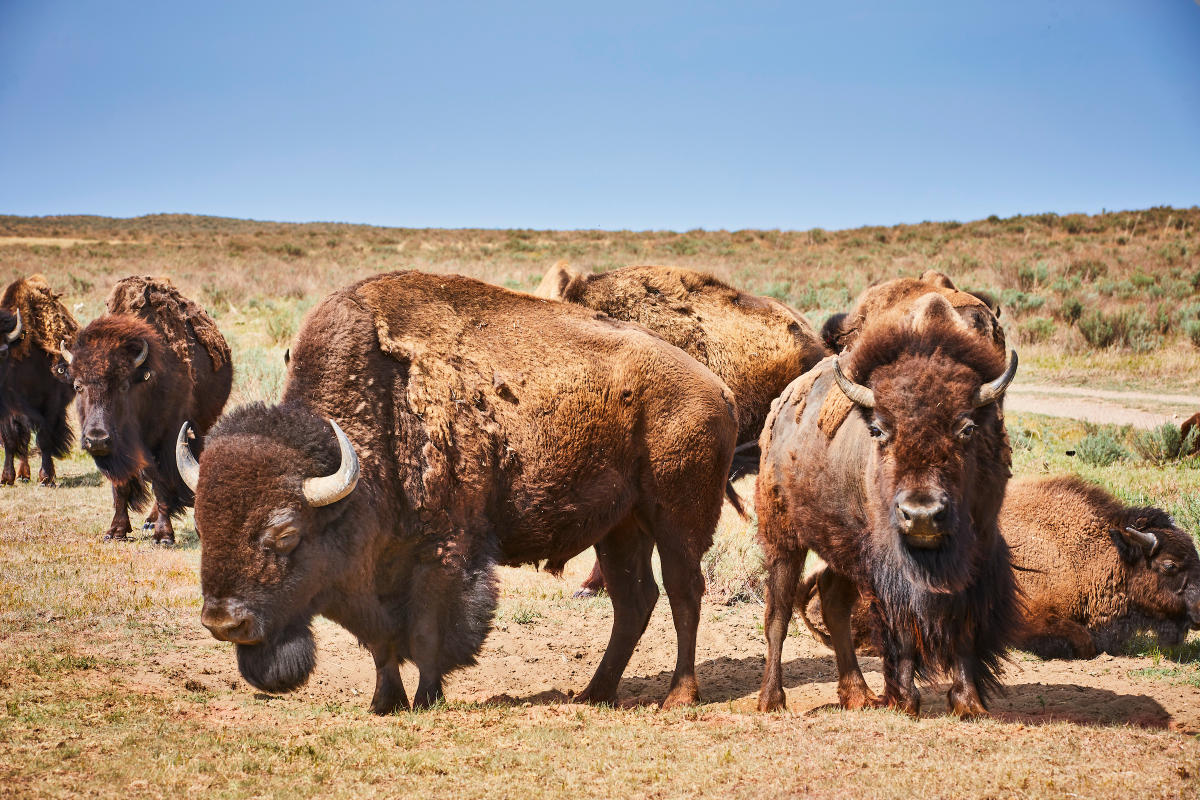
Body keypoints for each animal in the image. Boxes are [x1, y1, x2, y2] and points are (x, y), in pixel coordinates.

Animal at [0, 276, 78, 486]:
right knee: (24, 439)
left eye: (2, 352)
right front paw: (7, 478)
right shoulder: (9, 412)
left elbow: (44, 439)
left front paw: (46, 478)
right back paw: (23, 475)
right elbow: (11, 440)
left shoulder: (50, 405)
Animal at [64, 276, 231, 544]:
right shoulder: (118, 449)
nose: (96, 439)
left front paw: (164, 535)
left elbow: (162, 483)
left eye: (123, 385)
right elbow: (121, 486)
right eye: (78, 385)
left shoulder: (168, 439)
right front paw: (116, 531)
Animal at [179, 271, 739, 712]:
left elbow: (429, 635)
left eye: (285, 533)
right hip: (620, 527)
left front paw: (428, 699)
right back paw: (593, 694)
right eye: (202, 525)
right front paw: (385, 703)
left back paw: (678, 696)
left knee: (684, 593)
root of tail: (717, 388)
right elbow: (382, 642)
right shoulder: (378, 573)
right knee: (633, 601)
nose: (222, 621)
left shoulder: (445, 552)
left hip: (678, 516)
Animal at [756, 294, 1020, 716]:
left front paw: (968, 704)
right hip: (784, 540)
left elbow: (961, 625)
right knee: (777, 613)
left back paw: (858, 694)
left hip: (844, 548)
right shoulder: (891, 568)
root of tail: (780, 408)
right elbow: (904, 626)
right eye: (879, 429)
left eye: (967, 428)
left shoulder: (974, 552)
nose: (921, 516)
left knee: (833, 600)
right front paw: (906, 700)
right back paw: (772, 699)